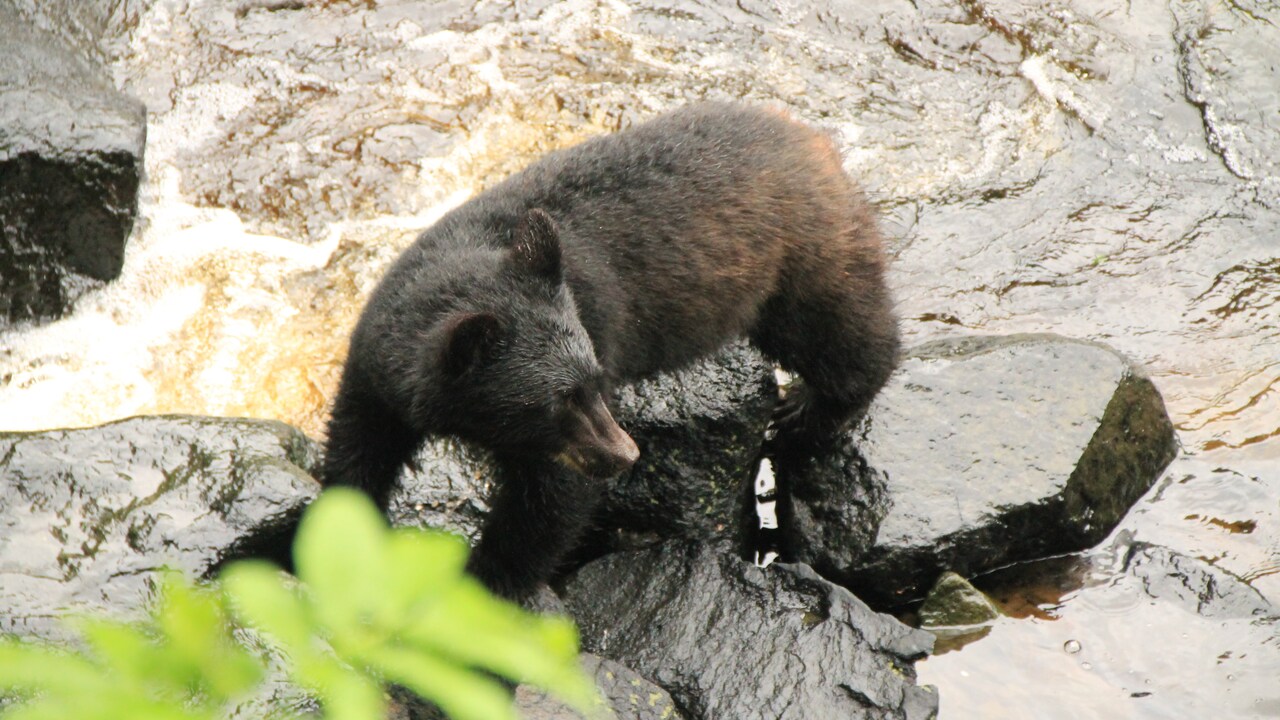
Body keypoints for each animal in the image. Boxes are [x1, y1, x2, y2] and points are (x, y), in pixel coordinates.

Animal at [322, 102, 899, 601]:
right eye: (557, 400)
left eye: (596, 383)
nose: (626, 454)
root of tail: (813, 139)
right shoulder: (378, 371)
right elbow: (358, 444)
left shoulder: (590, 331)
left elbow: (551, 502)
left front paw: (480, 586)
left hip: (801, 256)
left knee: (838, 329)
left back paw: (808, 409)